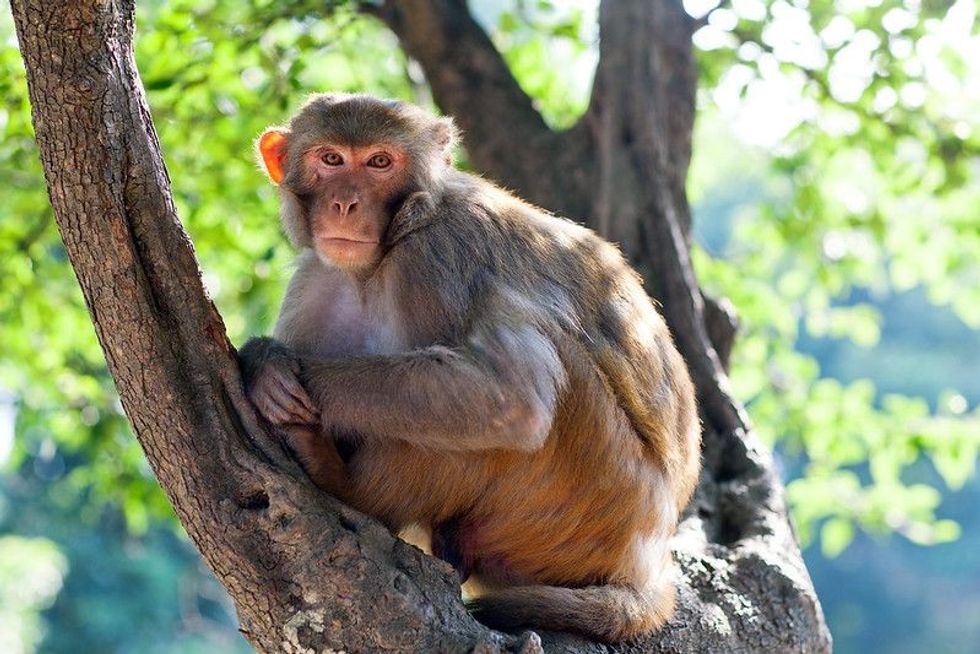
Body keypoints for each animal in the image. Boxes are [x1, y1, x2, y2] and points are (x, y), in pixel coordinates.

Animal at [237, 93, 701, 643]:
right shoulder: (316, 280)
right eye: (331, 159)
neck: (382, 256)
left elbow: (510, 396)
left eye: (379, 162)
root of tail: (650, 555)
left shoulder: (438, 255)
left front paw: (270, 373)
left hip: (593, 492)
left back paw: (344, 483)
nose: (345, 204)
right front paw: (266, 361)